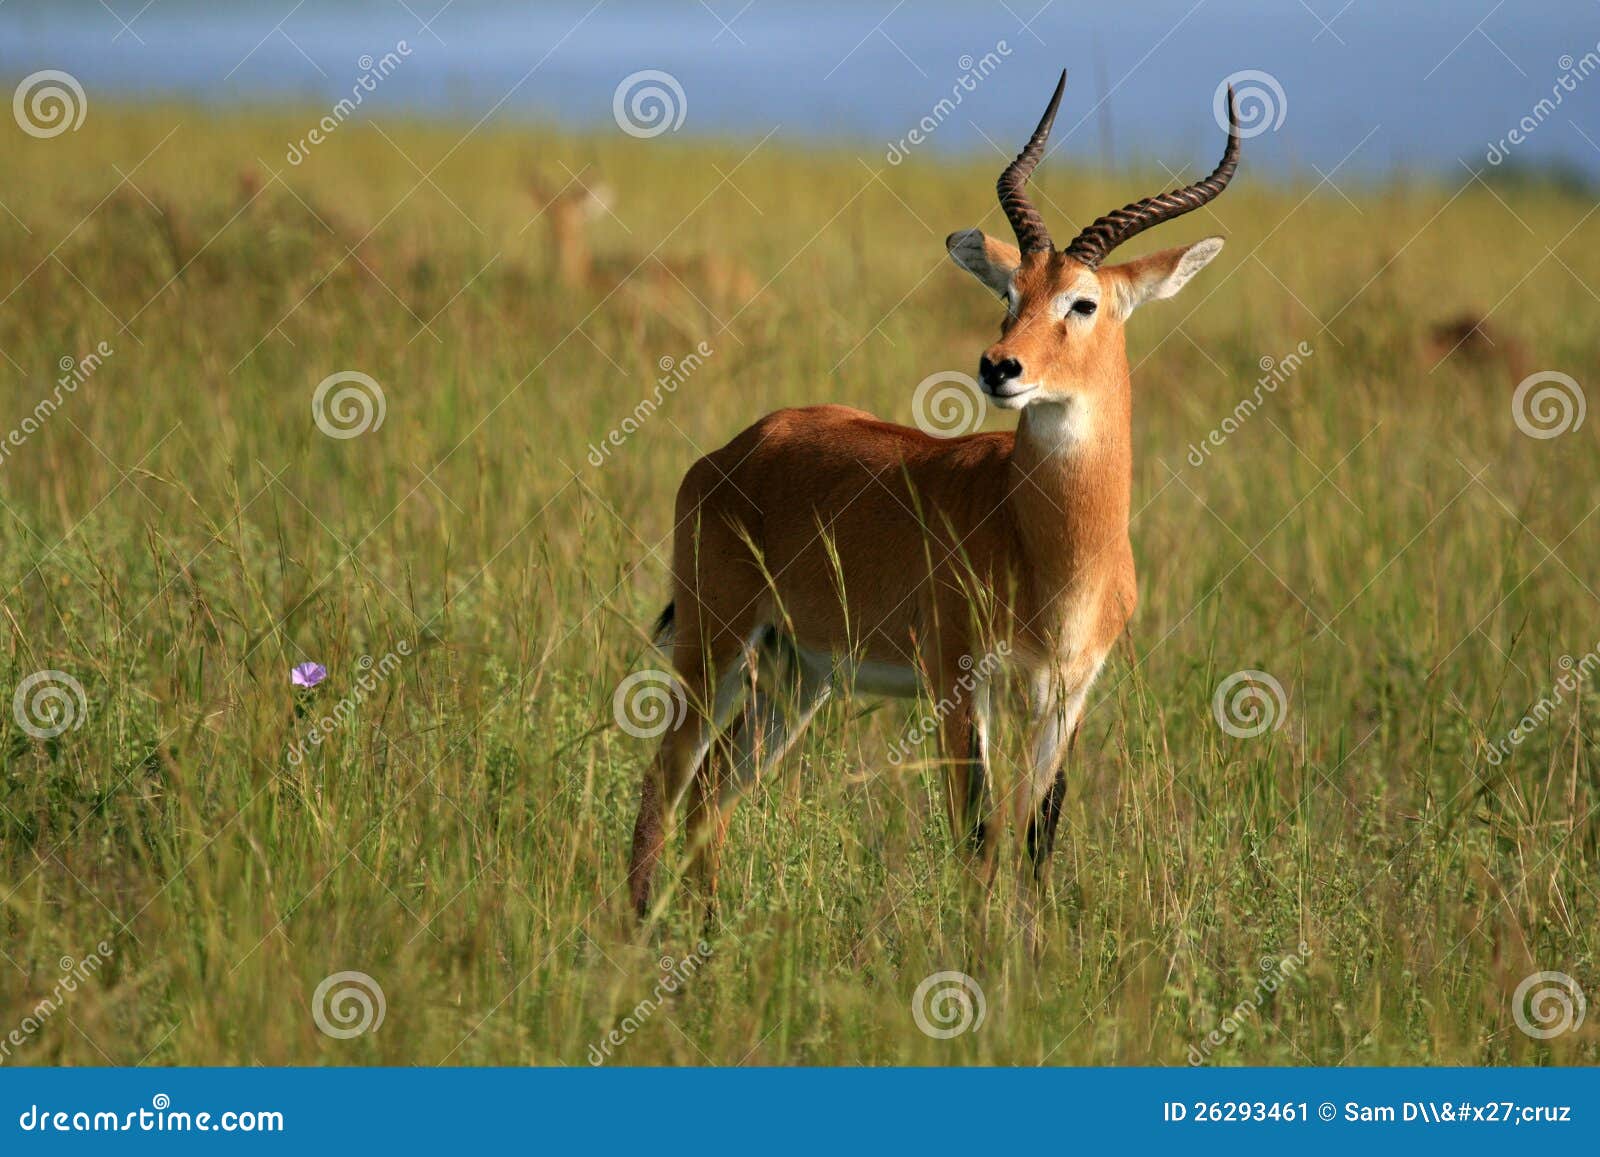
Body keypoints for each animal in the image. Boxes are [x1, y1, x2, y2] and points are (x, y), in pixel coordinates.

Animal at [627, 72, 1242, 923]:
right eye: (1011, 290)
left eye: (1082, 302)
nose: (999, 366)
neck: (1048, 545)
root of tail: (735, 449)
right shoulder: (962, 681)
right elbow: (978, 834)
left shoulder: (1068, 695)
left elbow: (1036, 839)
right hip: (714, 645)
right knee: (666, 776)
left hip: (795, 675)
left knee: (711, 790)